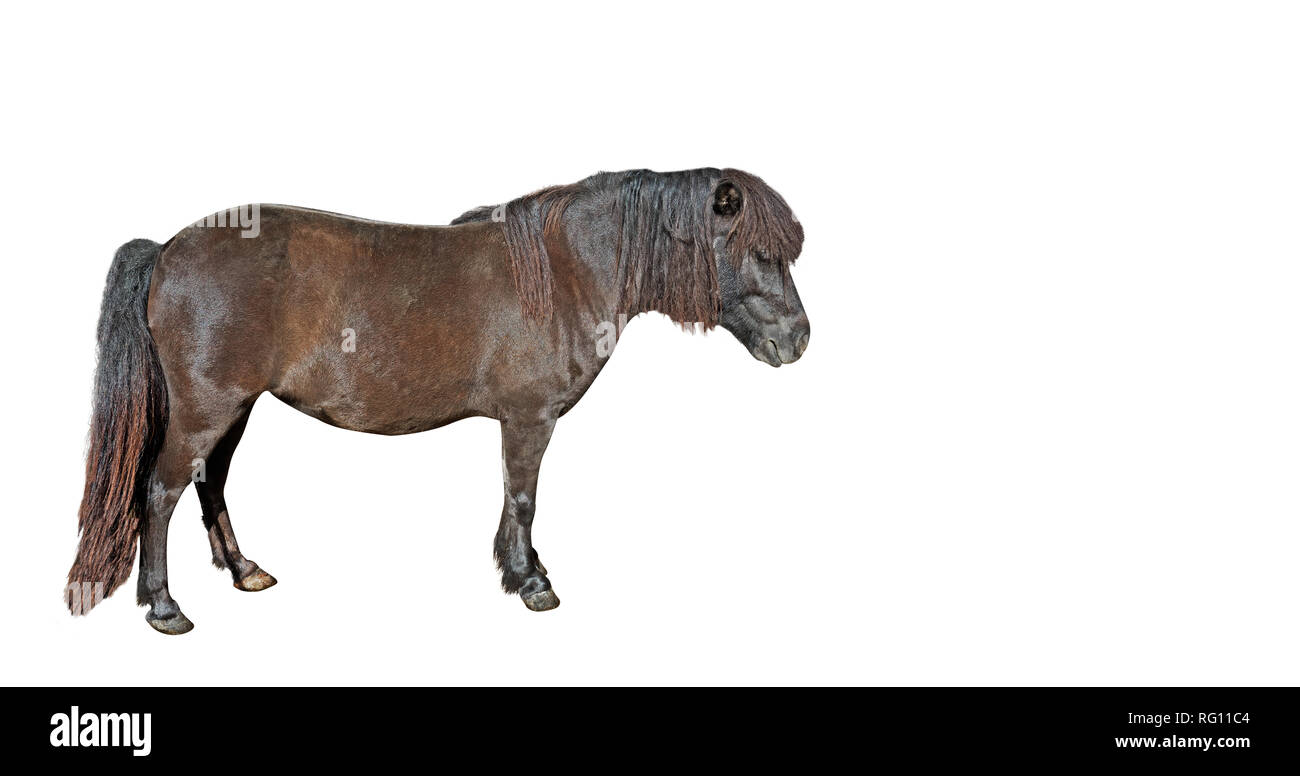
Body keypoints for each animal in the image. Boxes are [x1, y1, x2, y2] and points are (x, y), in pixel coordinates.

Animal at [66, 168, 810, 634]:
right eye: (760, 252)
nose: (798, 339)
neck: (566, 270)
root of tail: (167, 249)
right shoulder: (529, 418)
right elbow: (523, 498)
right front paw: (531, 583)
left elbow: (514, 498)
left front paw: (520, 568)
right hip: (205, 409)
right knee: (159, 492)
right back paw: (165, 606)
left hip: (233, 409)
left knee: (209, 483)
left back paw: (245, 571)